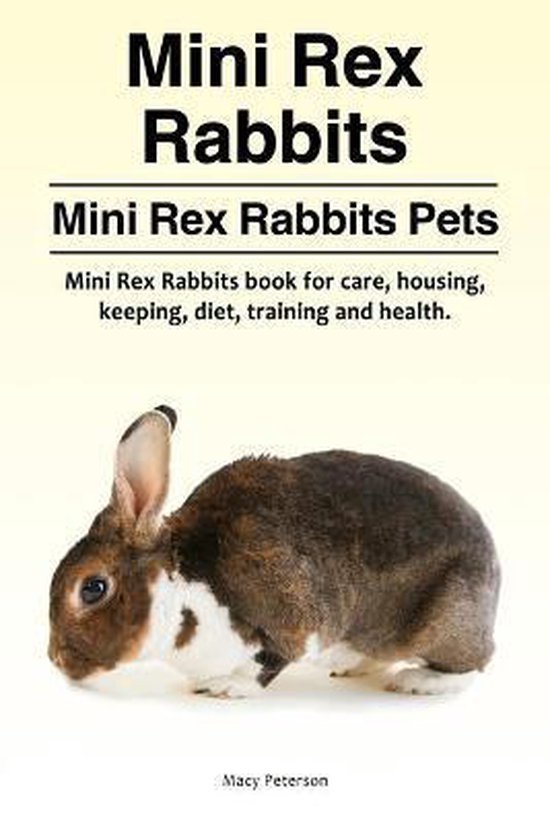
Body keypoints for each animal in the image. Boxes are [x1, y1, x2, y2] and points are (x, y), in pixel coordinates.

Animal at [49, 405, 500, 698]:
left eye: (93, 588)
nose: (55, 659)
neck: (185, 582)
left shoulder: (290, 617)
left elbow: (270, 660)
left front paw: (226, 687)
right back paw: (350, 664)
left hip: (444, 623)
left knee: (473, 664)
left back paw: (419, 682)